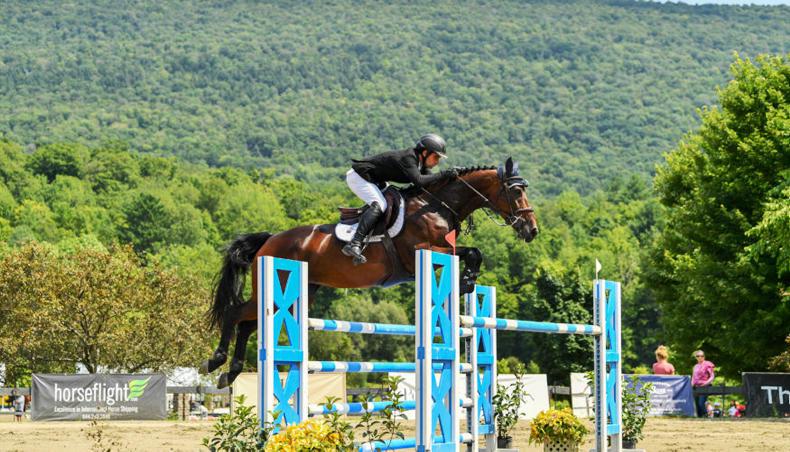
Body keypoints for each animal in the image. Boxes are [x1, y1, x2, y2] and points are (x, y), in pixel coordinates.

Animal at [201, 157, 538, 388]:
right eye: (515, 192)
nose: (532, 230)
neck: (437, 206)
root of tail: (269, 240)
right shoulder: (424, 251)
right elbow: (471, 252)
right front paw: (467, 280)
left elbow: (474, 252)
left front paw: (467, 281)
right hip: (275, 287)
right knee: (234, 313)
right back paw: (216, 361)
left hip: (293, 293)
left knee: (247, 324)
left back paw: (230, 373)